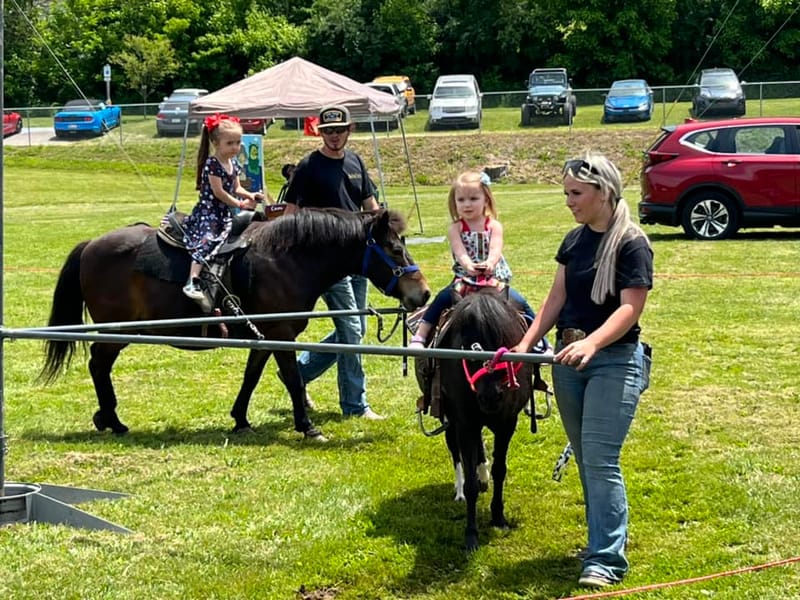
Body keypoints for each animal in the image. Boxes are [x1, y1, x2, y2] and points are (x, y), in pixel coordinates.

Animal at [39, 208, 430, 440]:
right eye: (395, 249)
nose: (423, 293)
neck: (286, 260)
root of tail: (91, 245)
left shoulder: (266, 337)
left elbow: (251, 376)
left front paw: (240, 418)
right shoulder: (281, 335)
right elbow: (292, 379)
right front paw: (307, 427)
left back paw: (108, 419)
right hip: (119, 331)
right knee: (98, 363)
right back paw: (112, 419)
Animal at [433, 290, 534, 551]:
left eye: (505, 344)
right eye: (469, 351)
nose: (490, 396)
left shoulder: (507, 423)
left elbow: (500, 470)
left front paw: (498, 517)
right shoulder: (465, 424)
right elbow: (470, 481)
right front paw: (471, 534)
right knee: (456, 452)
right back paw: (460, 490)